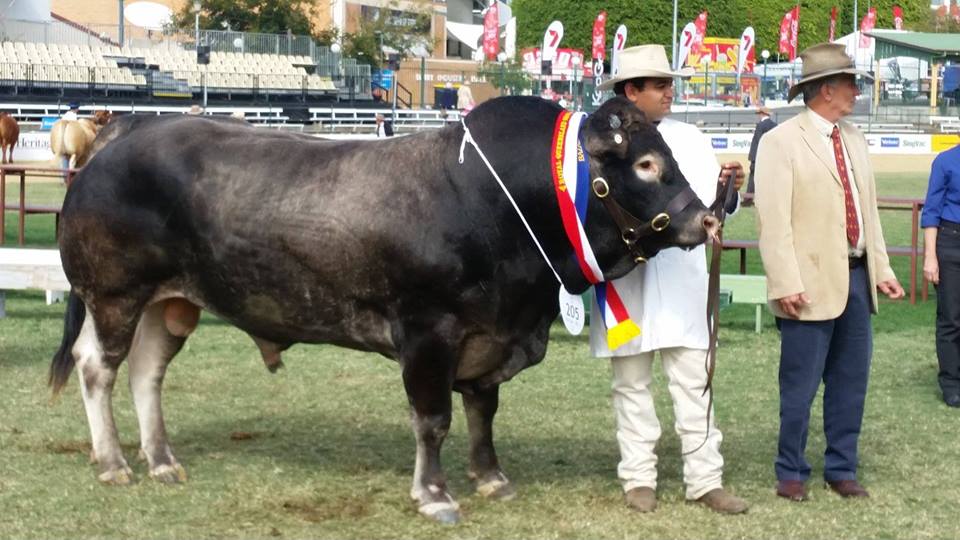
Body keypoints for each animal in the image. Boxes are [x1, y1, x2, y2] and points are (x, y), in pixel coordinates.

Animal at [50, 96, 719, 523]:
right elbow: (433, 419)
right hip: (113, 295)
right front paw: (435, 494)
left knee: (147, 373)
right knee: (98, 367)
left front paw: (491, 478)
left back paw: (163, 462)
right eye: (646, 164)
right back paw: (113, 463)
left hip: (170, 304)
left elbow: (483, 412)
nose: (707, 219)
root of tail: (122, 136)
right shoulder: (428, 332)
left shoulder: (490, 333)